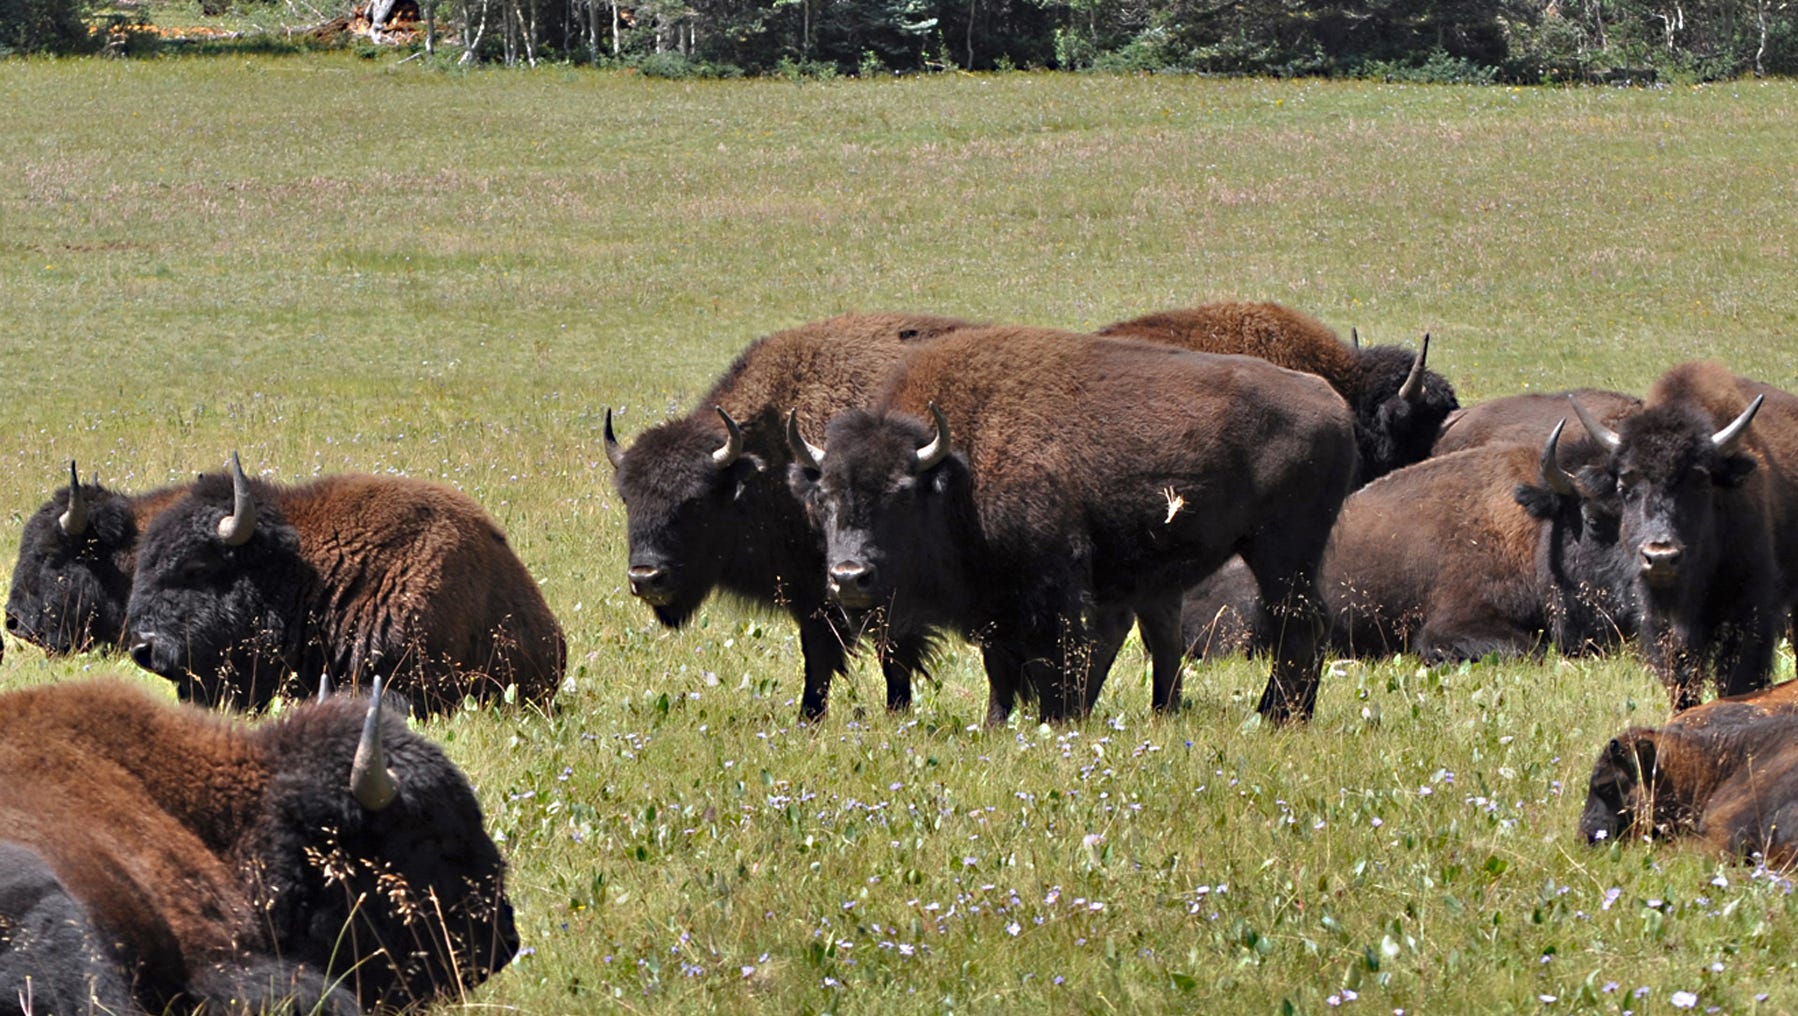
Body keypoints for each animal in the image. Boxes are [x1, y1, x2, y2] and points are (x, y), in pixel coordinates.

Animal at [789, 327, 1358, 725]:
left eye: (901, 494)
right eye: (822, 497)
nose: (848, 577)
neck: (956, 468)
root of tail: (1330, 401)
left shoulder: (1050, 585)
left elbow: (1051, 656)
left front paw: (1053, 718)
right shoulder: (994, 601)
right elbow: (999, 665)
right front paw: (997, 723)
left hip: (1282, 550)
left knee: (1300, 624)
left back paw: (1278, 717)